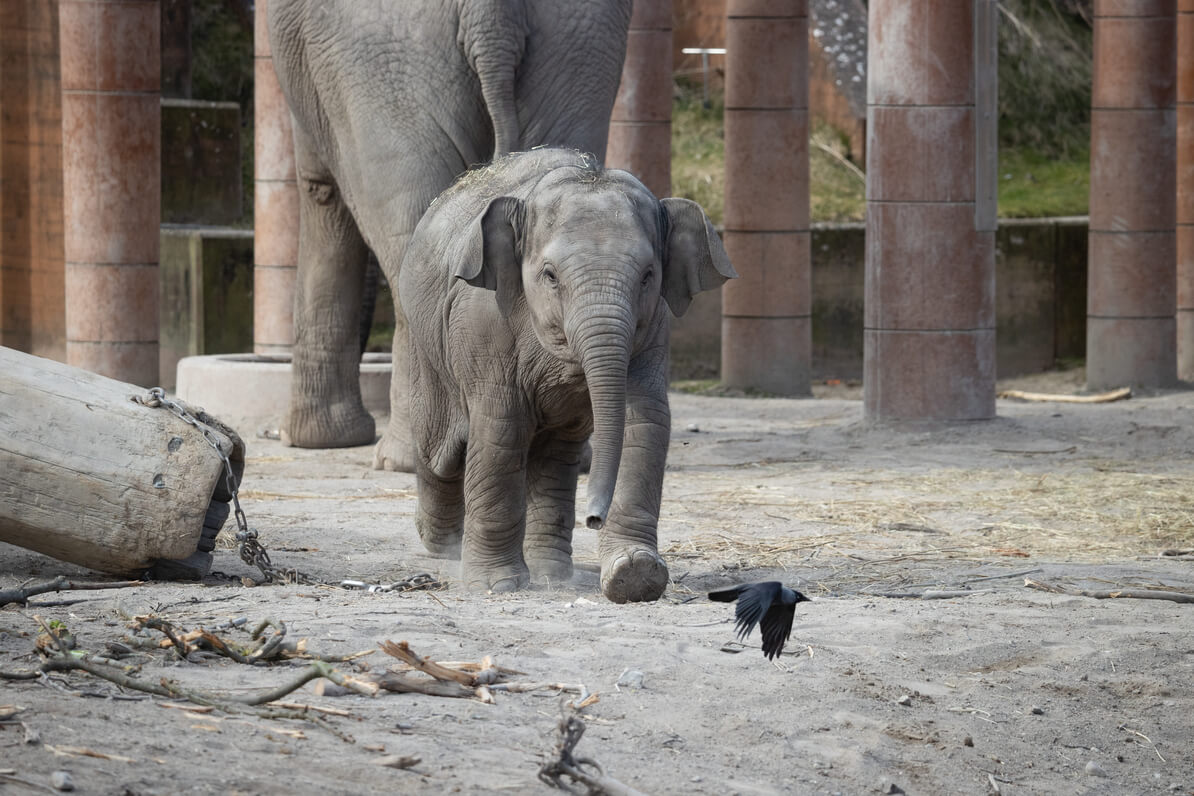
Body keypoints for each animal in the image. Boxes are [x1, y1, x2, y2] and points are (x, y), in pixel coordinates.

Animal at [267, 0, 633, 471]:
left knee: (411, 233)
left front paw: (308, 440)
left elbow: (321, 192)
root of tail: (491, 15)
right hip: (582, 43)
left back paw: (405, 459)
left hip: (384, 63)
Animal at [400, 149, 736, 603]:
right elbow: (501, 427)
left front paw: (635, 575)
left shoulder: (654, 328)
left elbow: (644, 421)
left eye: (648, 276)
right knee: (439, 447)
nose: (594, 519)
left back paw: (549, 573)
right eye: (550, 276)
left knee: (556, 454)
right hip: (424, 344)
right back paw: (442, 544)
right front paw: (496, 585)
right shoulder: (484, 321)